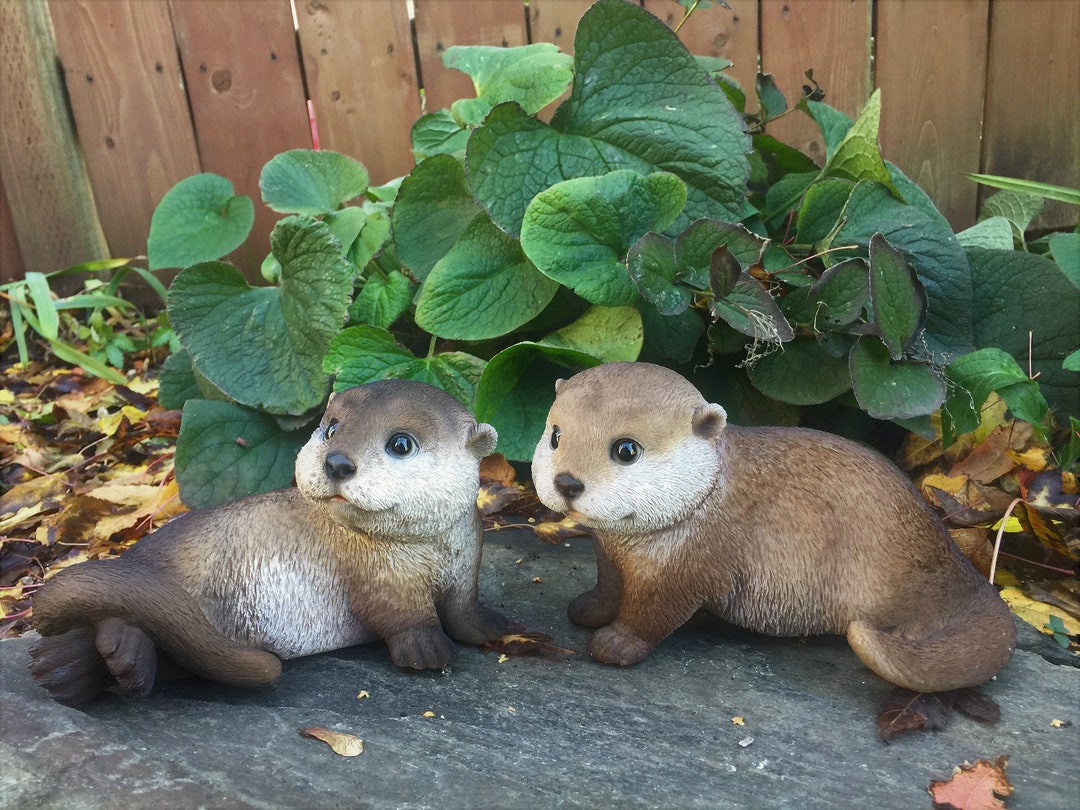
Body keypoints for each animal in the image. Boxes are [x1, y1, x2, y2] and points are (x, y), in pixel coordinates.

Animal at [29, 380, 508, 706]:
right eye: (331, 429)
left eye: (401, 443)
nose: (337, 462)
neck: (429, 550)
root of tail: (136, 558)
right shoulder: (379, 578)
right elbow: (403, 616)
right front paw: (427, 650)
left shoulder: (467, 563)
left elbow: (464, 607)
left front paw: (493, 626)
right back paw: (100, 662)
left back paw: (66, 671)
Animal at [531, 362, 1016, 693]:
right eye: (555, 436)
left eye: (626, 450)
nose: (567, 482)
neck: (703, 498)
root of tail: (961, 574)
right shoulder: (611, 557)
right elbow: (608, 589)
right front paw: (587, 610)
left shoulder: (687, 571)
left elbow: (649, 617)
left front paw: (615, 644)